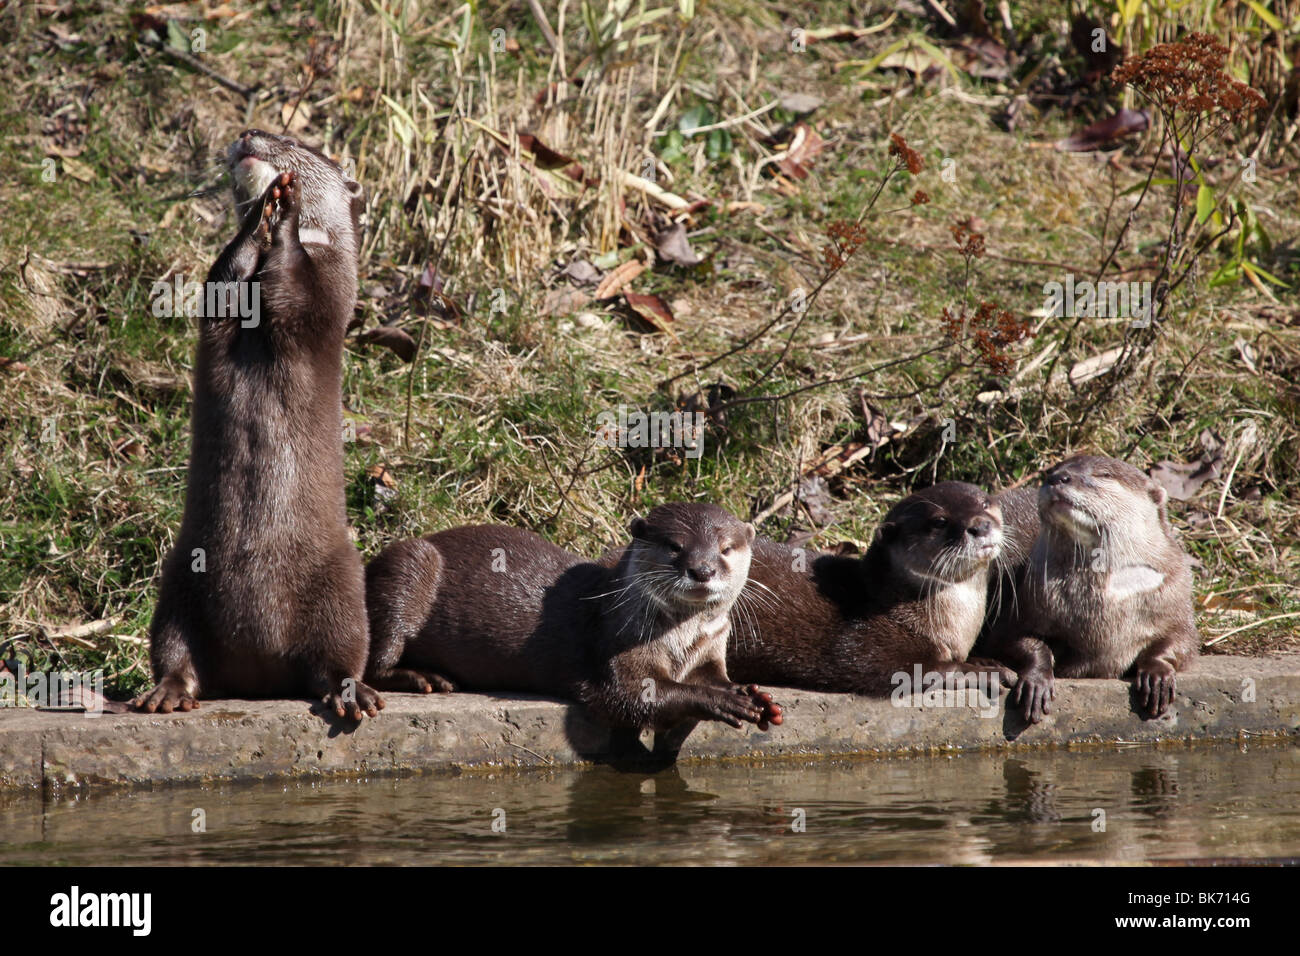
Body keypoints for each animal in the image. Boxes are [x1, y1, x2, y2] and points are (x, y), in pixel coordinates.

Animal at [135, 129, 382, 720]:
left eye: (294, 139)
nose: (249, 136)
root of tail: (262, 670)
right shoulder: (225, 290)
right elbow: (224, 277)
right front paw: (256, 218)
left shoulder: (331, 290)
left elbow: (297, 286)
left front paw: (284, 212)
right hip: (178, 584)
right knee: (177, 651)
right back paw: (167, 692)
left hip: (344, 584)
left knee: (340, 655)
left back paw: (352, 694)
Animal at [364, 503, 783, 732]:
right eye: (675, 546)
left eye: (726, 548)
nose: (703, 570)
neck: (681, 641)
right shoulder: (615, 645)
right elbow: (631, 697)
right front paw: (723, 701)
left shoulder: (711, 647)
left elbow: (715, 677)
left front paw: (755, 695)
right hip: (407, 570)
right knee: (375, 659)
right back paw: (425, 678)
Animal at [725, 482, 1013, 695]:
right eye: (940, 521)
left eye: (985, 503)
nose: (980, 525)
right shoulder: (868, 646)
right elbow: (921, 670)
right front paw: (988, 673)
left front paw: (985, 661)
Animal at [982, 454, 1200, 722]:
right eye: (1054, 470)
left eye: (1103, 474)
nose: (1058, 477)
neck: (1107, 607)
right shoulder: (1023, 605)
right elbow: (1020, 641)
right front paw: (1037, 680)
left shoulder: (1174, 599)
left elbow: (1180, 643)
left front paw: (1157, 675)